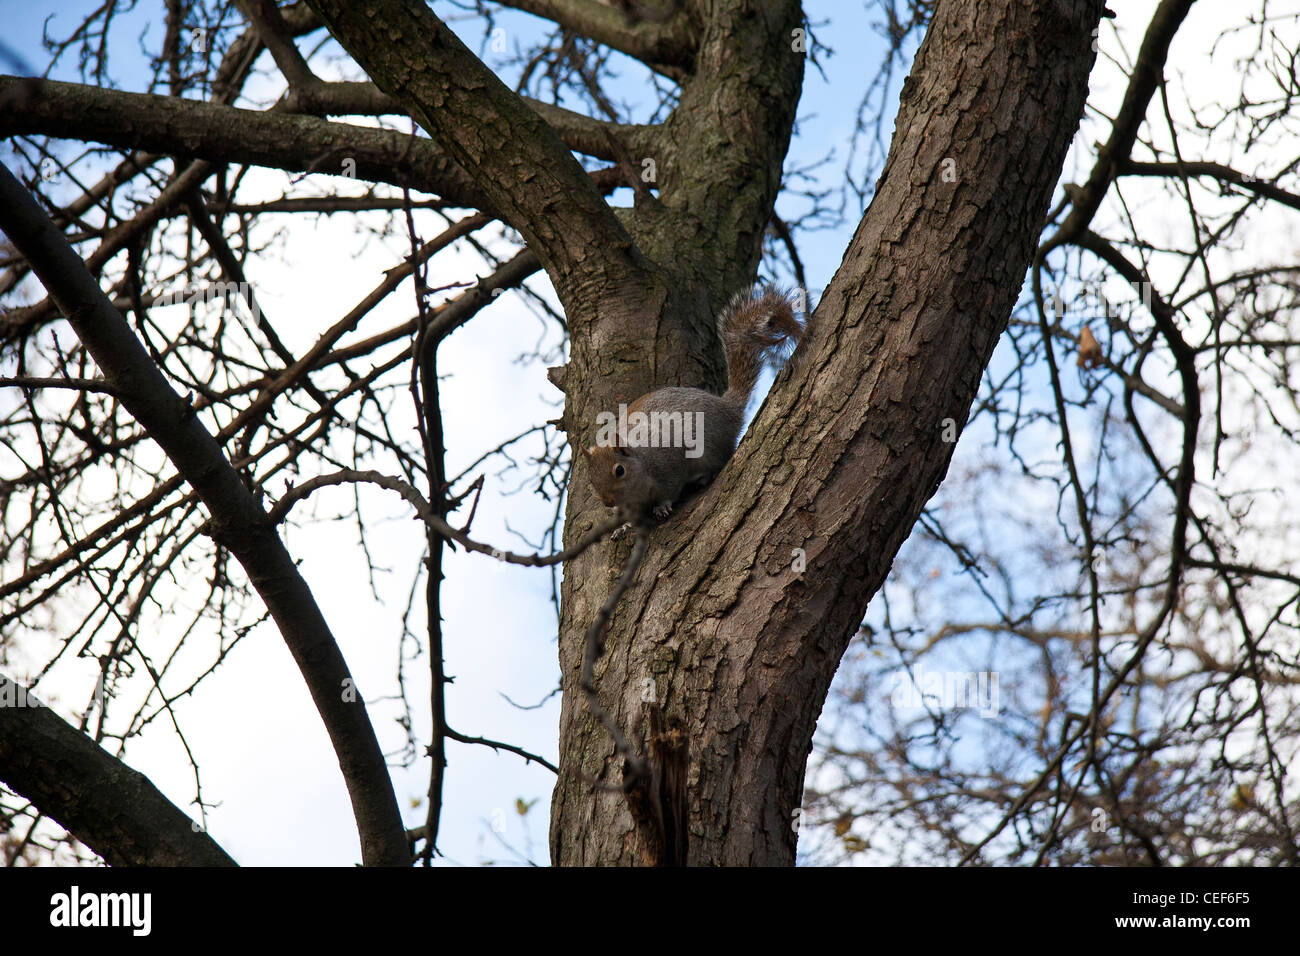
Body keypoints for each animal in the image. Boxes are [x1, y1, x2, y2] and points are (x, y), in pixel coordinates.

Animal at [582, 285, 804, 525]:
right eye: (591, 479)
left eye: (620, 470)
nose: (608, 503)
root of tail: (728, 407)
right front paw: (623, 525)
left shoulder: (668, 464)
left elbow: (670, 489)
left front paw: (662, 506)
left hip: (709, 443)